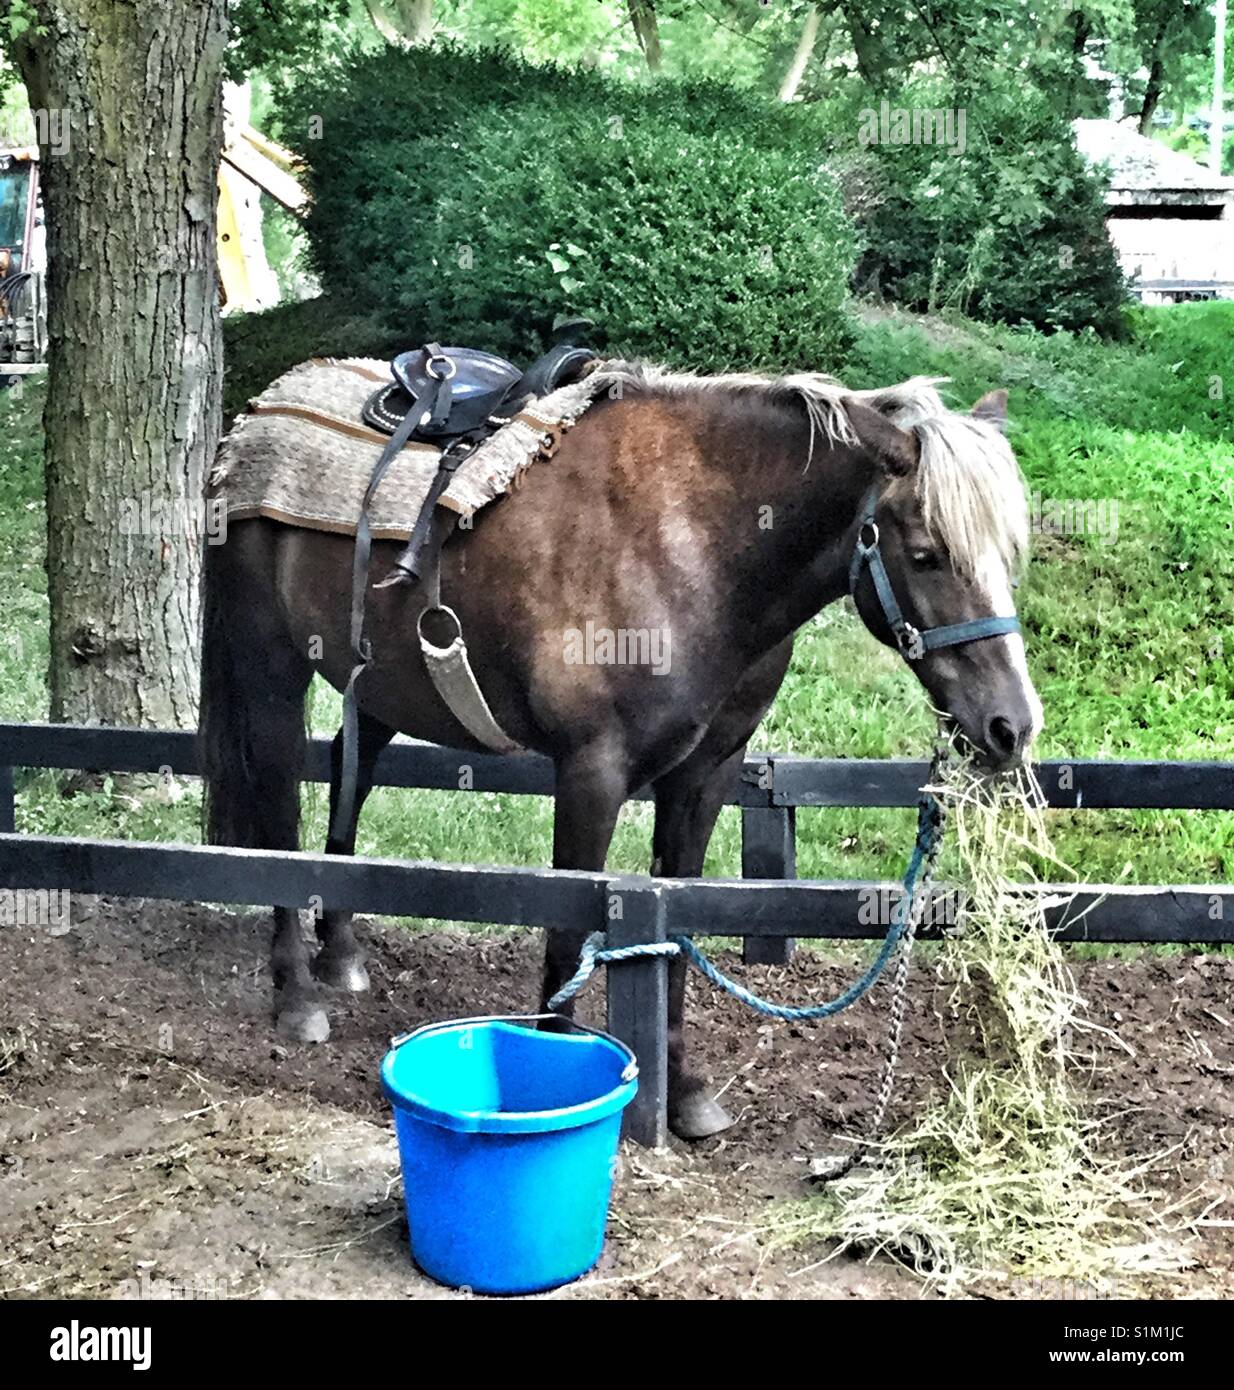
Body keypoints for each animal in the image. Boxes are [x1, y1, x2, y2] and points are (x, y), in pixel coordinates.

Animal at [199, 362, 1042, 1140]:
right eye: (926, 552)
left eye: (1009, 554)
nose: (1012, 725)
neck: (692, 545)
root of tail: (254, 420)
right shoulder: (591, 773)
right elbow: (568, 932)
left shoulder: (706, 776)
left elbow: (678, 931)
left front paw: (686, 1092)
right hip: (272, 672)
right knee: (278, 818)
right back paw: (298, 996)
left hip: (374, 689)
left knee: (351, 780)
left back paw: (340, 956)